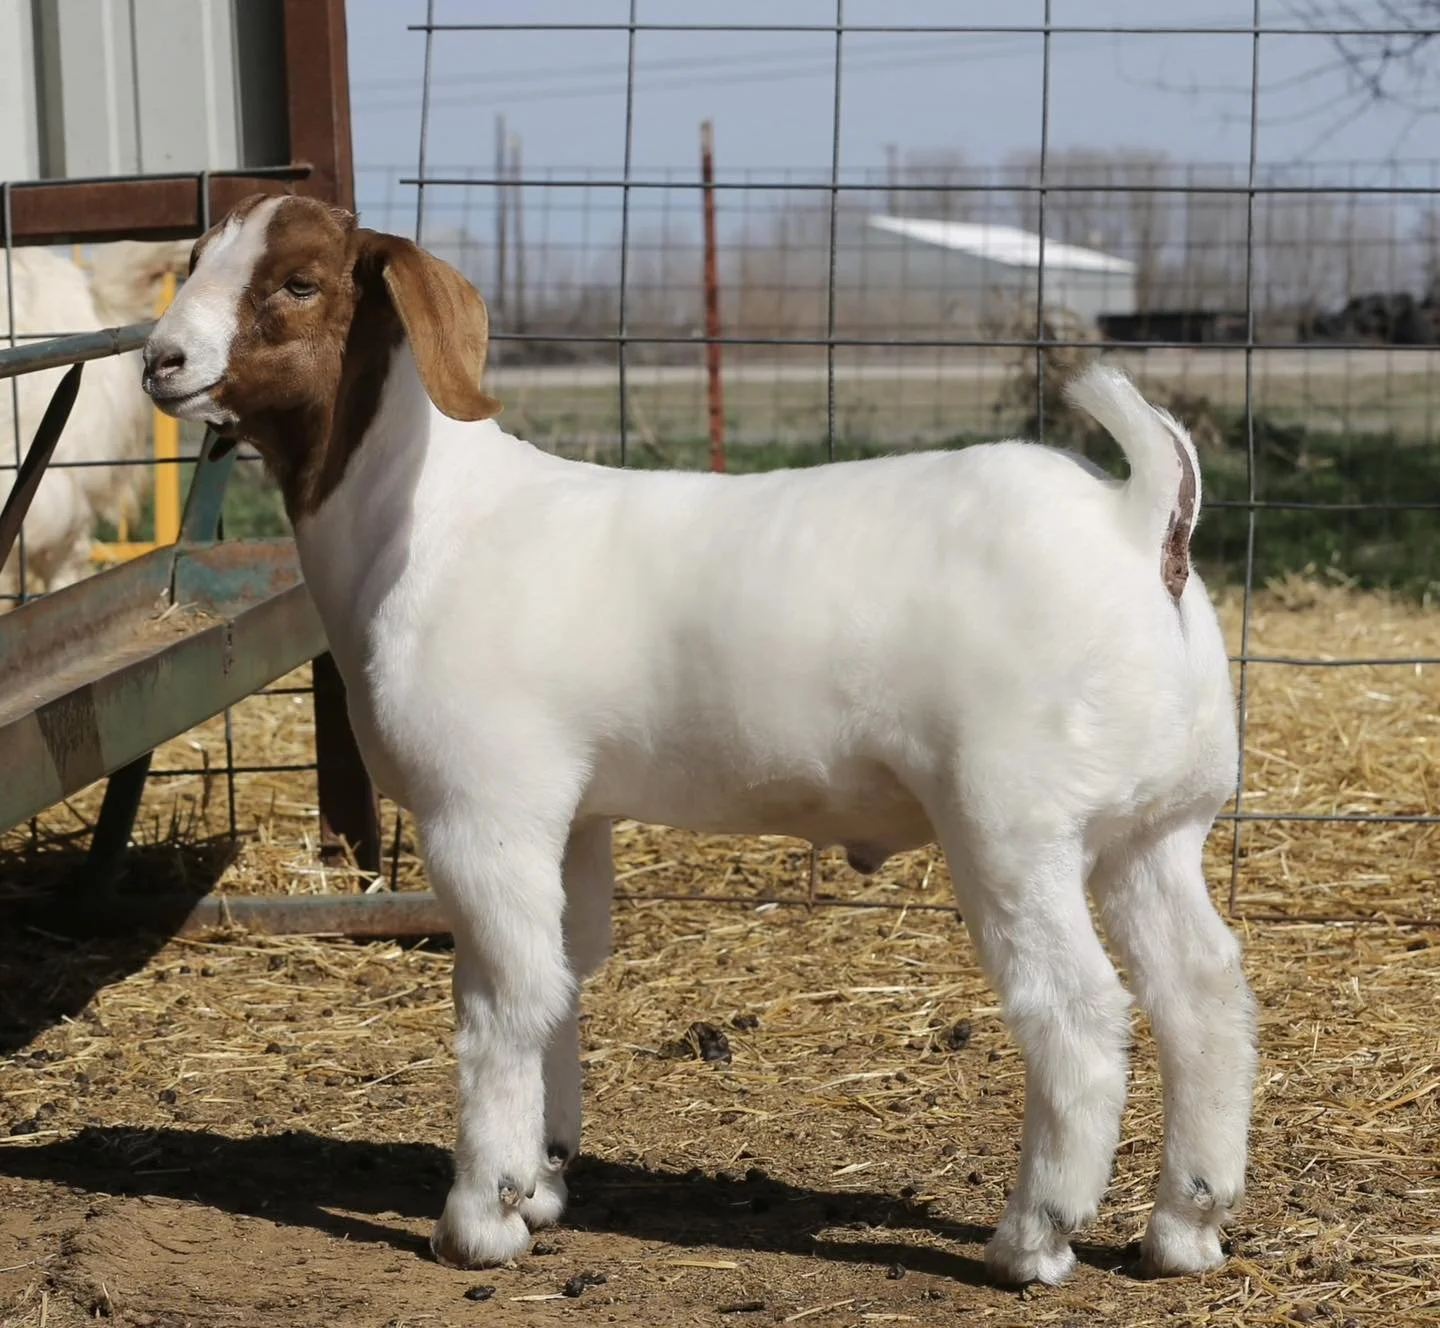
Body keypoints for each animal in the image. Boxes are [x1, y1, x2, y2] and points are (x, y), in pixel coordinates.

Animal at [143, 195, 1257, 1287]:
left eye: (299, 282)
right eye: (194, 257)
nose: (161, 359)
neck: (429, 519)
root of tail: (1139, 524)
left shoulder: (483, 806)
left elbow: (505, 998)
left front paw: (483, 1216)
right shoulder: (572, 812)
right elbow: (564, 977)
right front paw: (542, 1181)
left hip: (1015, 821)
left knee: (1077, 1012)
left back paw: (1034, 1237)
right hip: (1158, 823)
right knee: (1203, 994)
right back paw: (1185, 1227)